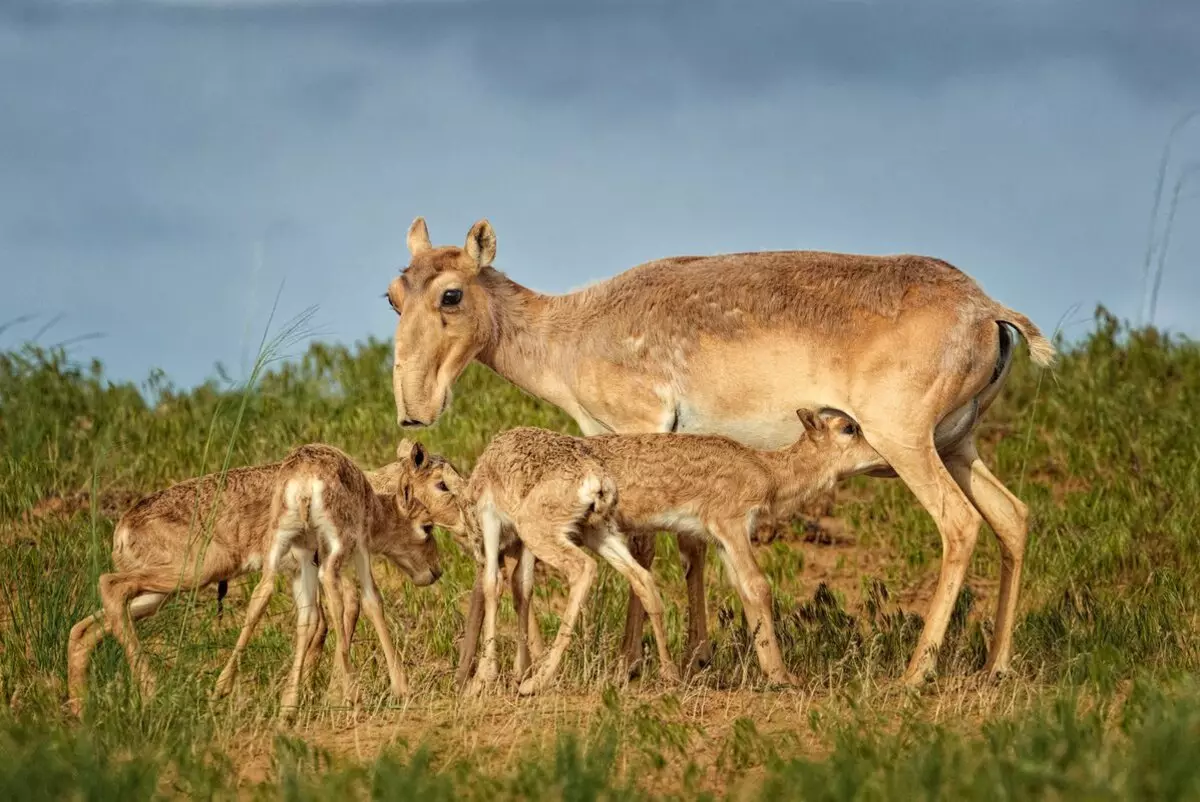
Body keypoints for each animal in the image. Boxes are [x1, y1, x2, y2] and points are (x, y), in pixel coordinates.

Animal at [388, 216, 1056, 686]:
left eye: (451, 294)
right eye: (394, 294)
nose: (413, 408)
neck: (575, 327)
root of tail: (989, 309)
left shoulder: (638, 427)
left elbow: (645, 546)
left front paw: (633, 664)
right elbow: (689, 547)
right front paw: (694, 656)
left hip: (908, 445)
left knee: (960, 525)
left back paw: (916, 672)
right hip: (959, 446)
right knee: (1013, 517)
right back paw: (995, 665)